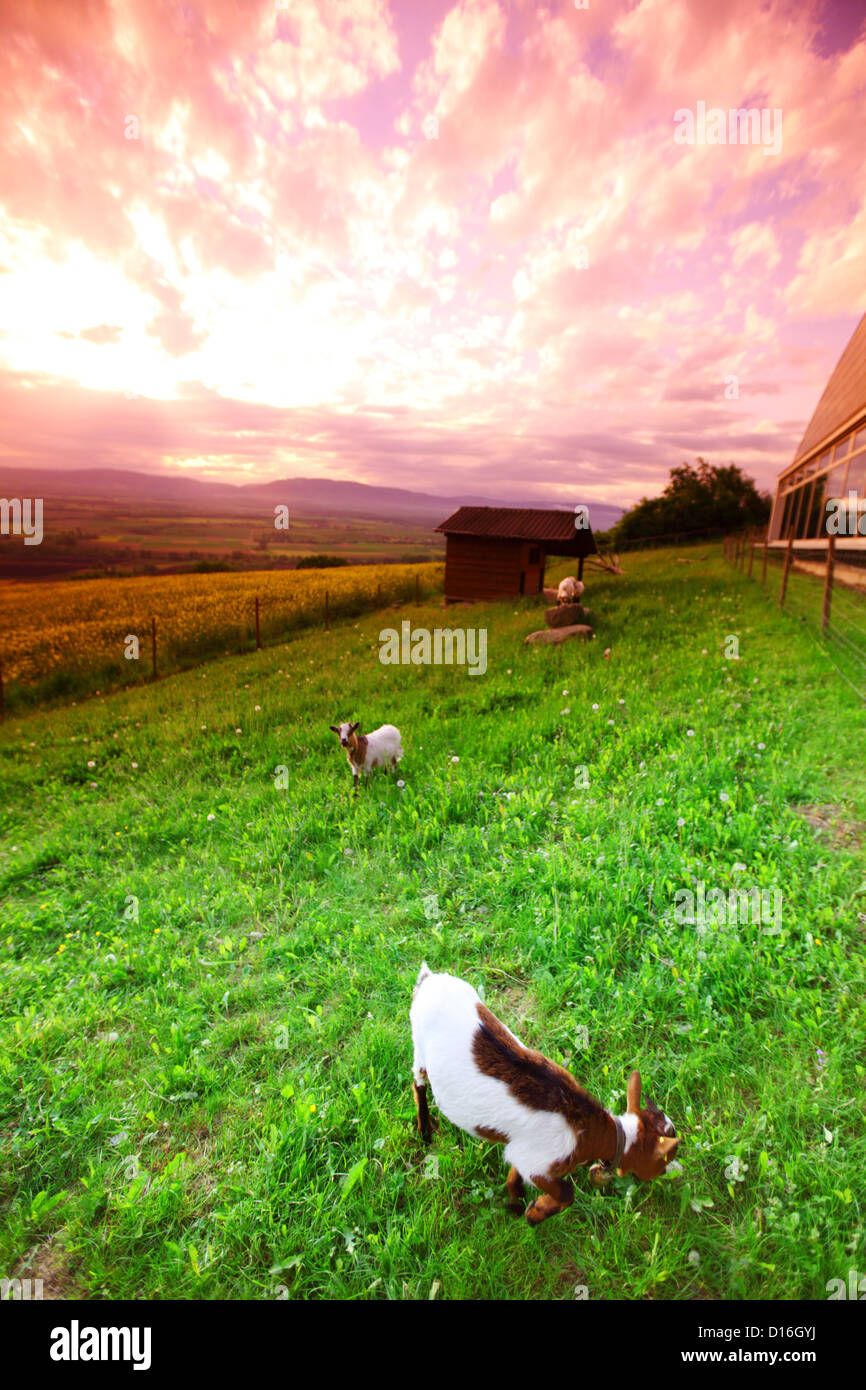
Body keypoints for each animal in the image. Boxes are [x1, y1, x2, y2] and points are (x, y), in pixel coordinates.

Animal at [410, 965, 679, 1225]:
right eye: (664, 1159)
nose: (671, 1172)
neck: (588, 1131)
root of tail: (429, 979)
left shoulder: (519, 1152)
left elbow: (513, 1177)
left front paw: (517, 1206)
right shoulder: (540, 1163)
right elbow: (566, 1193)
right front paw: (534, 1214)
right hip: (419, 1046)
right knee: (418, 1083)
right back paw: (425, 1132)